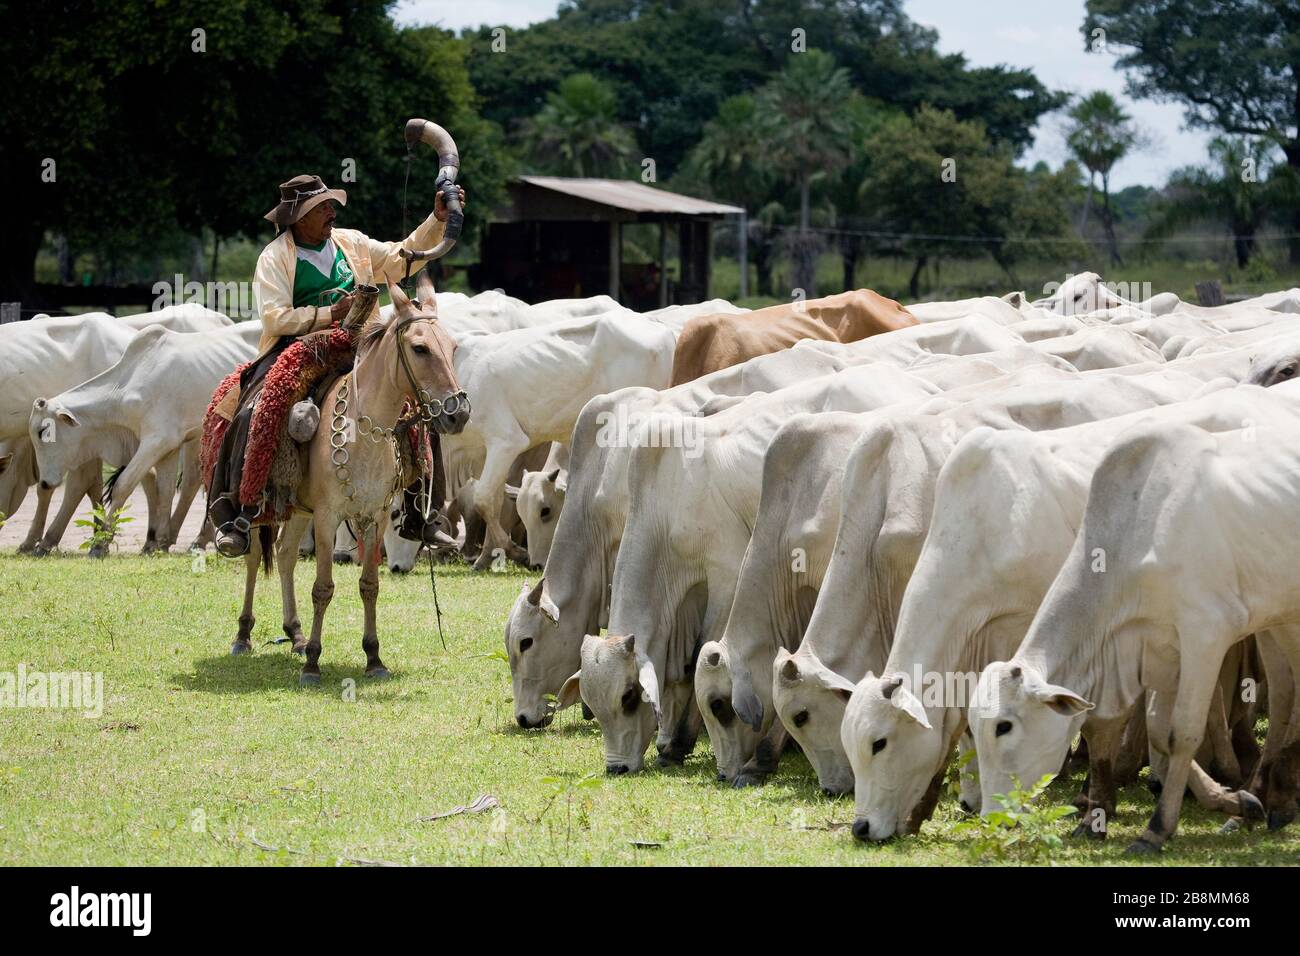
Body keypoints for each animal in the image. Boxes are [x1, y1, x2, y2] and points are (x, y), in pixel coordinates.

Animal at [970, 386, 1300, 852]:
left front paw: (1157, 829)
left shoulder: (1205, 633)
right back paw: (1278, 800)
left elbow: (1184, 732)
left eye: (1004, 726)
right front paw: (1234, 802)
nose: (990, 818)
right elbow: (1159, 731)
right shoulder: (1160, 646)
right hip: (1284, 615)